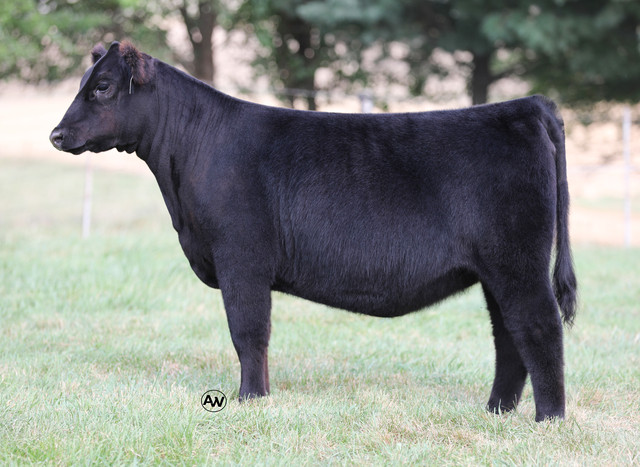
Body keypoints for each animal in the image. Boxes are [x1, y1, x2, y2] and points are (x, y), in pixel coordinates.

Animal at [50, 41, 577, 422]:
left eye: (102, 87)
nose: (55, 135)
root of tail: (528, 106)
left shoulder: (241, 257)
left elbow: (248, 331)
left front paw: (250, 400)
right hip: (496, 271)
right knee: (509, 337)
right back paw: (497, 411)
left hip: (519, 263)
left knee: (539, 327)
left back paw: (549, 418)